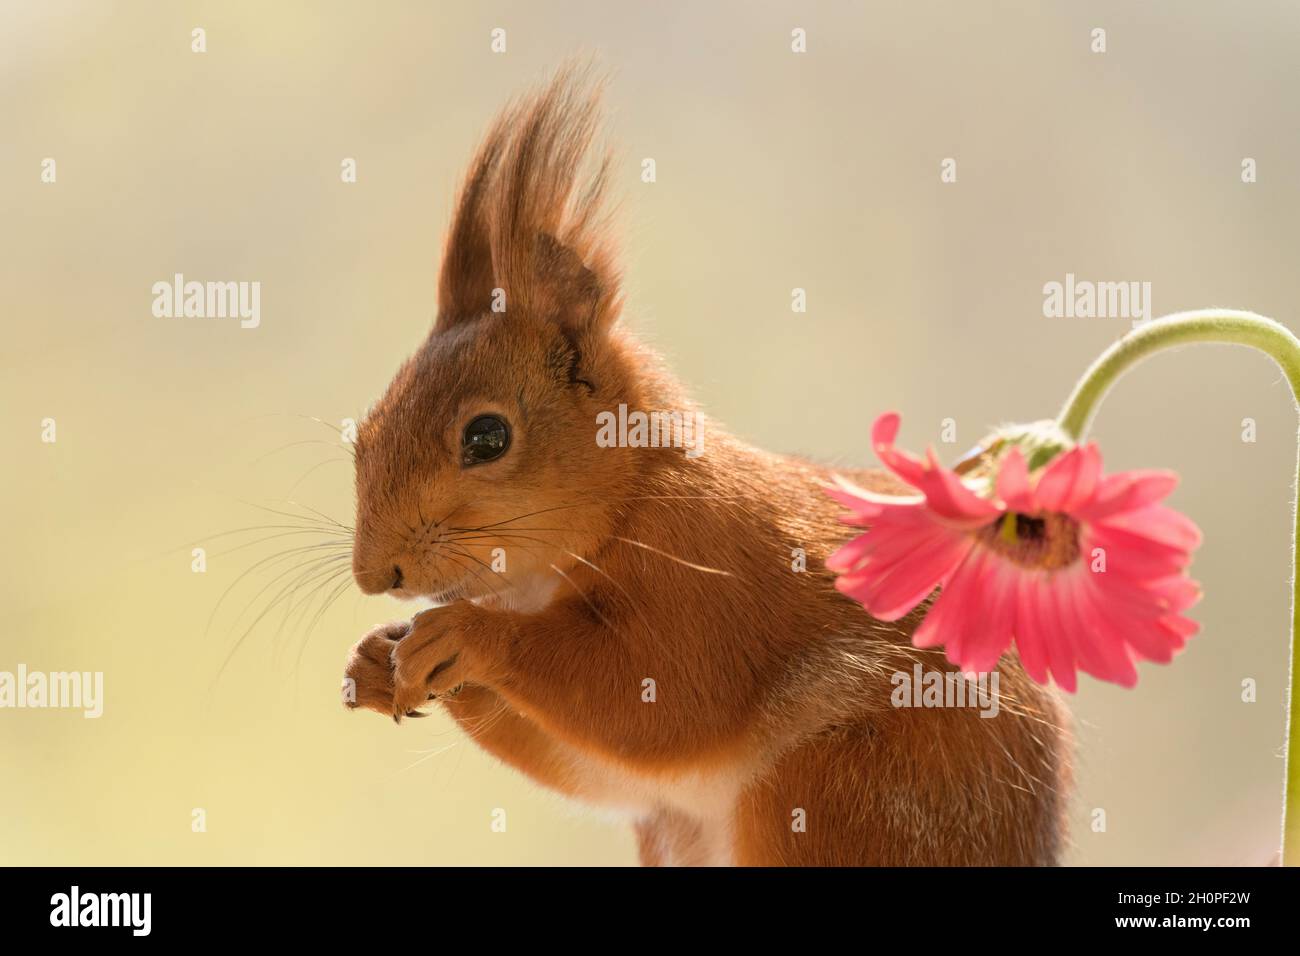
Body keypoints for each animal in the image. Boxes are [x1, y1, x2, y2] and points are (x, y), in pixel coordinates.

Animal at [342, 64, 1071, 866]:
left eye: (486, 438)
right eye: (362, 435)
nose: (375, 577)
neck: (629, 493)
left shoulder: (708, 577)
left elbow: (659, 703)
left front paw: (467, 635)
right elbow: (591, 766)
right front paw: (376, 661)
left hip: (840, 791)